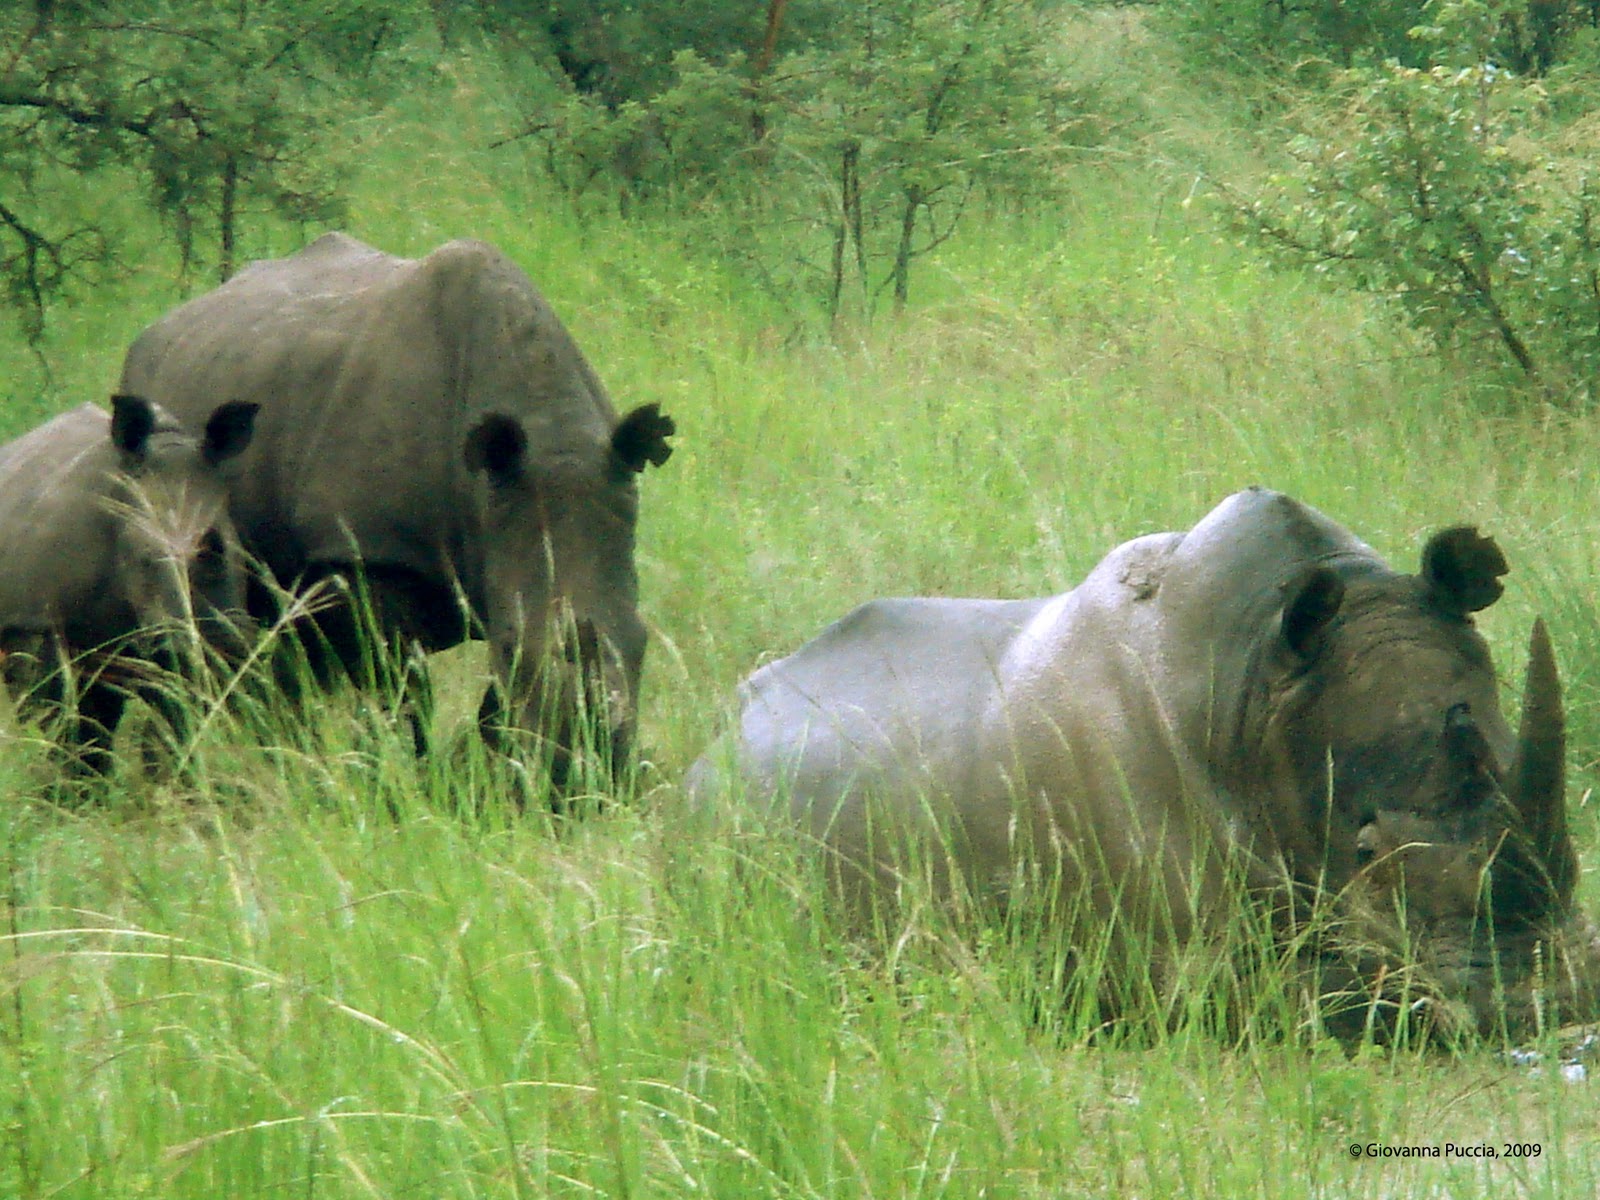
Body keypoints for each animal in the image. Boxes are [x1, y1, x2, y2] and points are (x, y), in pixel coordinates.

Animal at [0, 395, 258, 771]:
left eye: (217, 550)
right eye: (142, 557)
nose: (178, 640)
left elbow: (173, 731)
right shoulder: (37, 621)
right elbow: (61, 721)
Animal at [118, 232, 675, 791]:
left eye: (645, 643)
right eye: (511, 647)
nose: (583, 781)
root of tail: (155, 330)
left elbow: (488, 712)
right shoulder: (372, 553)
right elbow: (401, 697)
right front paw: (404, 783)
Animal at [692, 488, 1600, 1037]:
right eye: (1367, 853)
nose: (1534, 1002)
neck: (1255, 691)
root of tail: (712, 742)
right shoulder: (1177, 968)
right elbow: (1336, 996)